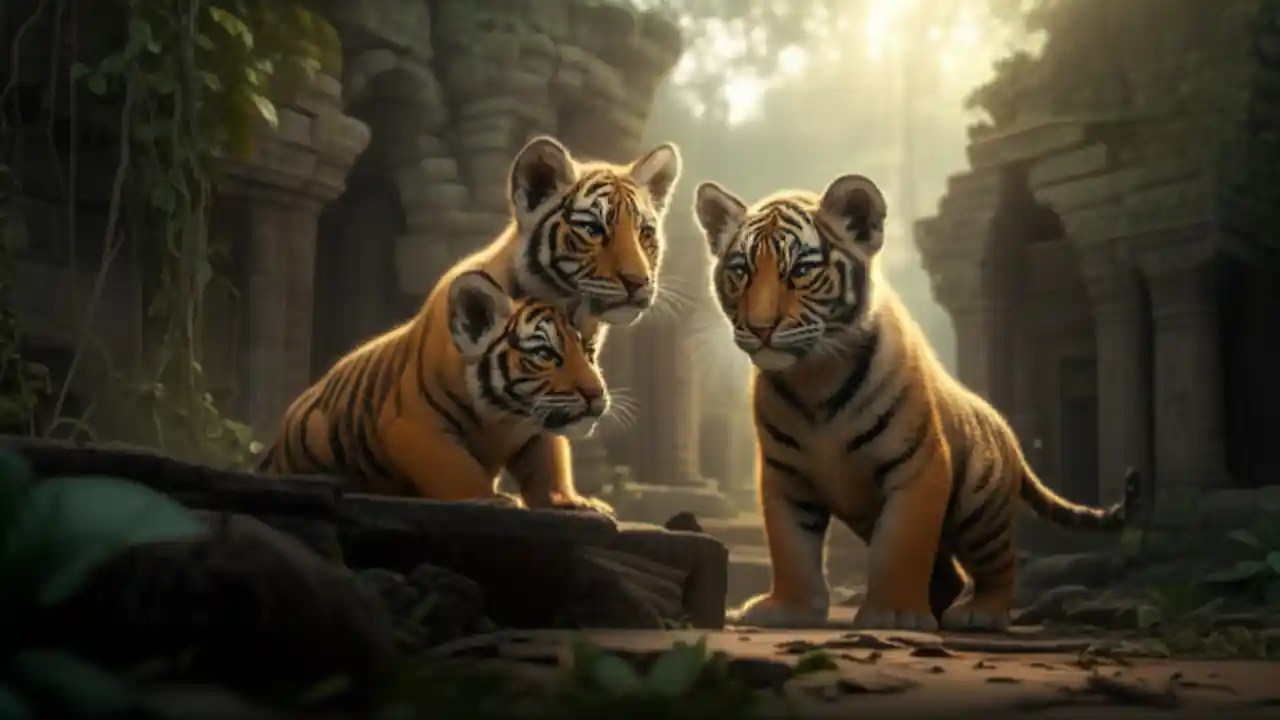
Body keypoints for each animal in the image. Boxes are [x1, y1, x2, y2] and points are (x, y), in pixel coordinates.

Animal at [256, 268, 614, 514]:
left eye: (588, 352)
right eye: (544, 354)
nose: (596, 393)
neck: (505, 416)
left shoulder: (536, 429)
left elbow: (548, 466)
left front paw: (573, 502)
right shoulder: (411, 428)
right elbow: (457, 468)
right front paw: (492, 499)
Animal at [692, 173, 1140, 631]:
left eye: (801, 270)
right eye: (740, 271)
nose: (760, 328)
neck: (815, 377)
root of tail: (1007, 430)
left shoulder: (918, 466)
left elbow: (901, 543)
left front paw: (893, 614)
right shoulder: (785, 475)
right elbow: (790, 545)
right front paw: (789, 610)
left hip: (981, 510)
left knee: (999, 563)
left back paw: (980, 612)